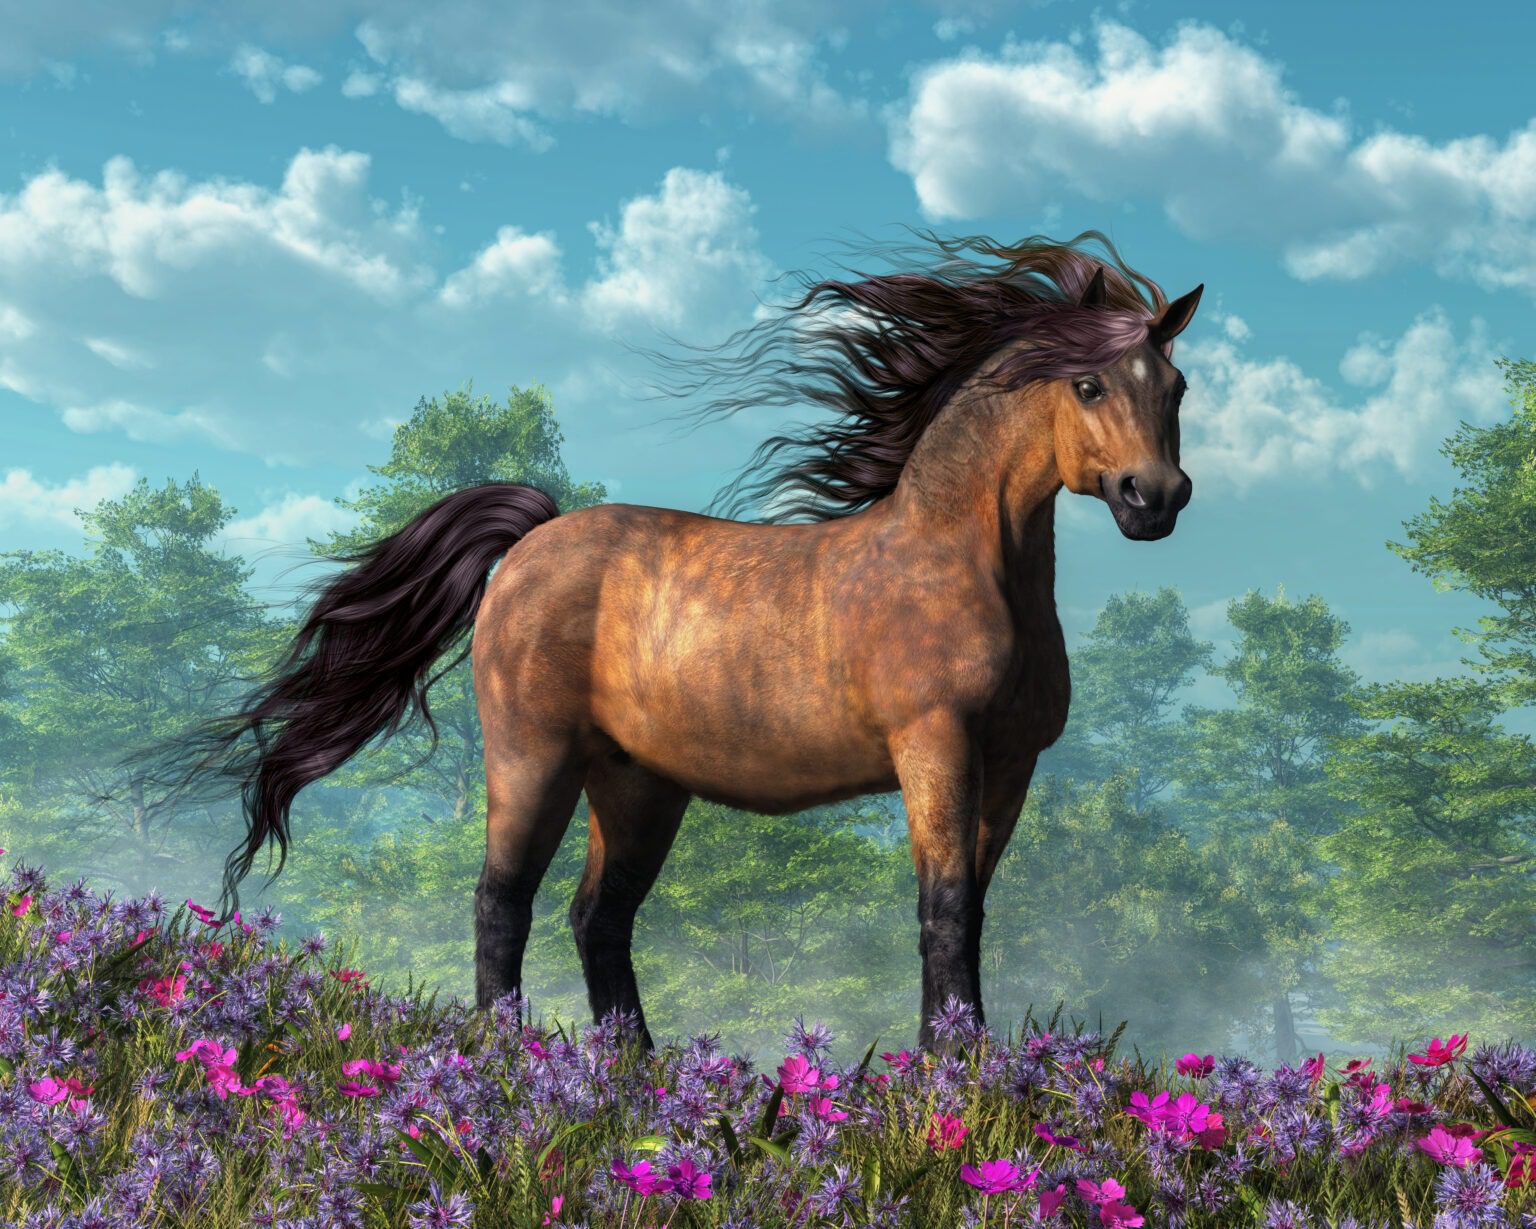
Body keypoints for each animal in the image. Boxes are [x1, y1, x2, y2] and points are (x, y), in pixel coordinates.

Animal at [194, 230, 1202, 1053]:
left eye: (1177, 387)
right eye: (1087, 383)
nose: (1155, 498)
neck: (960, 564)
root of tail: (529, 541)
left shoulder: (1011, 764)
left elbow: (974, 908)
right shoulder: (936, 747)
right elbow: (945, 909)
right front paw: (950, 1074)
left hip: (638, 784)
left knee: (598, 917)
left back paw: (633, 1075)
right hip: (533, 757)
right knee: (502, 901)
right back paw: (507, 1065)